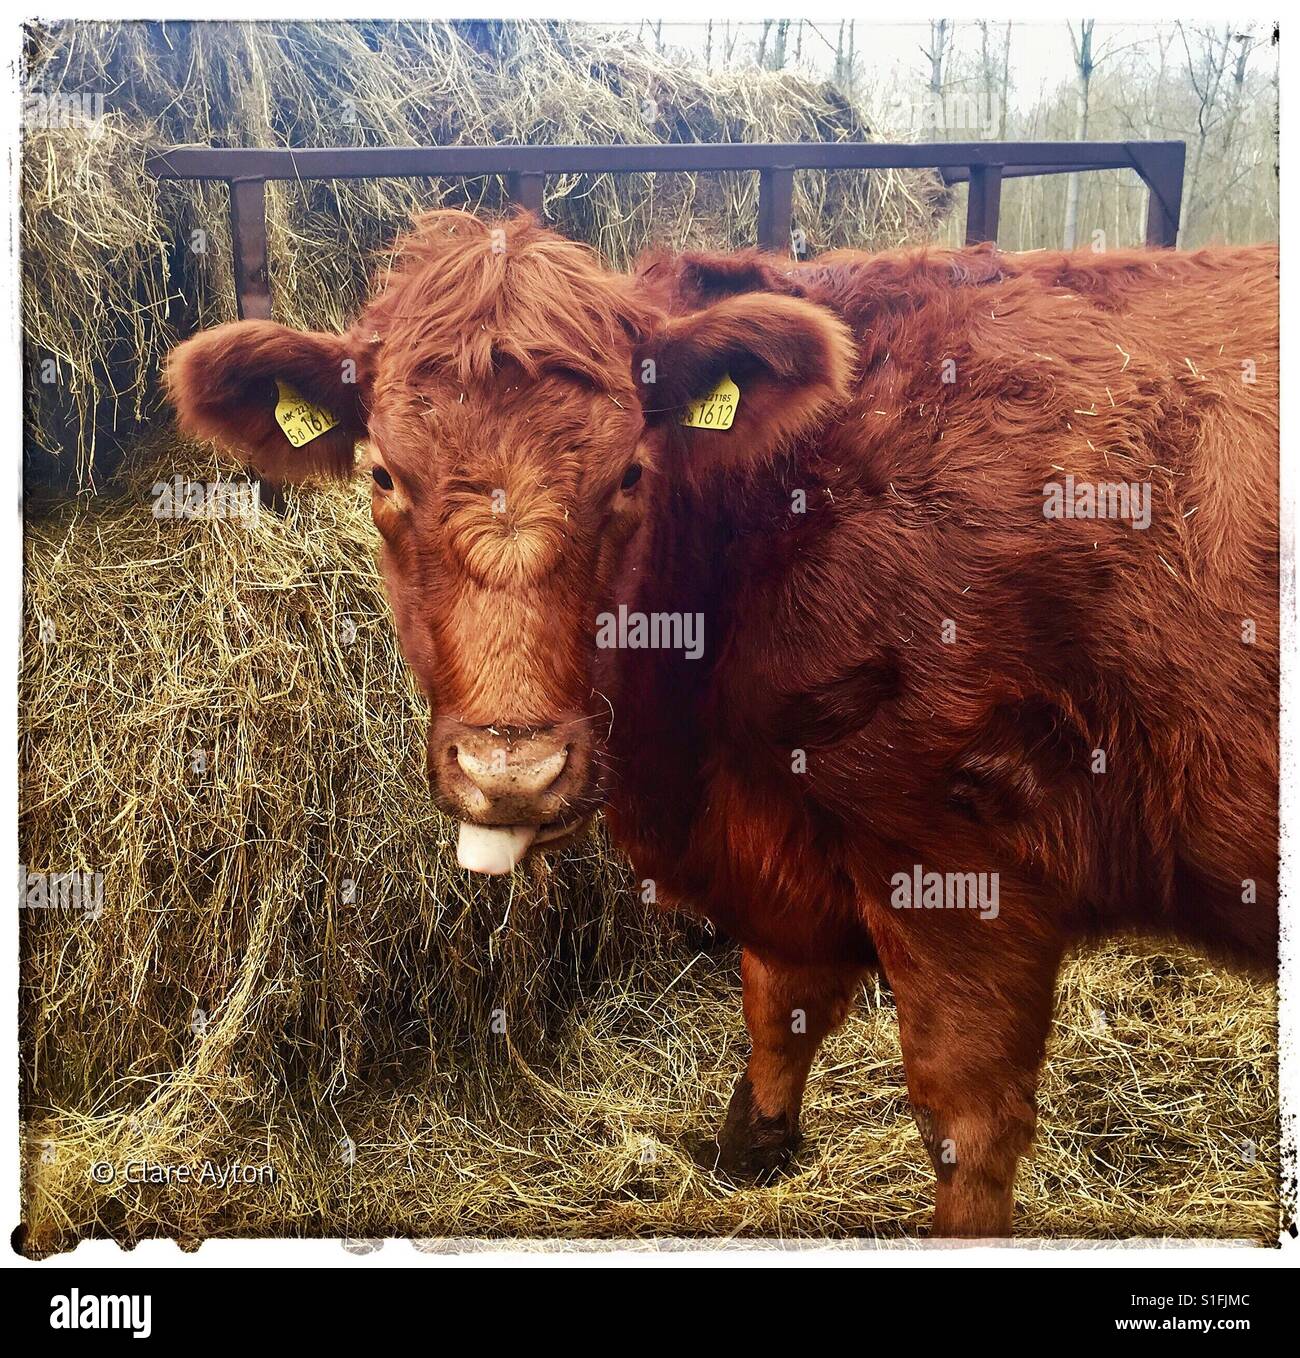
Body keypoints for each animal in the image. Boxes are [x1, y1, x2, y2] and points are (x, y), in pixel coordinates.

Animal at [166, 209, 1278, 1237]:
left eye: (628, 472)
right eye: (383, 475)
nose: (511, 769)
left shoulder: (961, 866)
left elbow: (967, 1118)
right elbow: (778, 1000)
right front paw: (752, 1141)